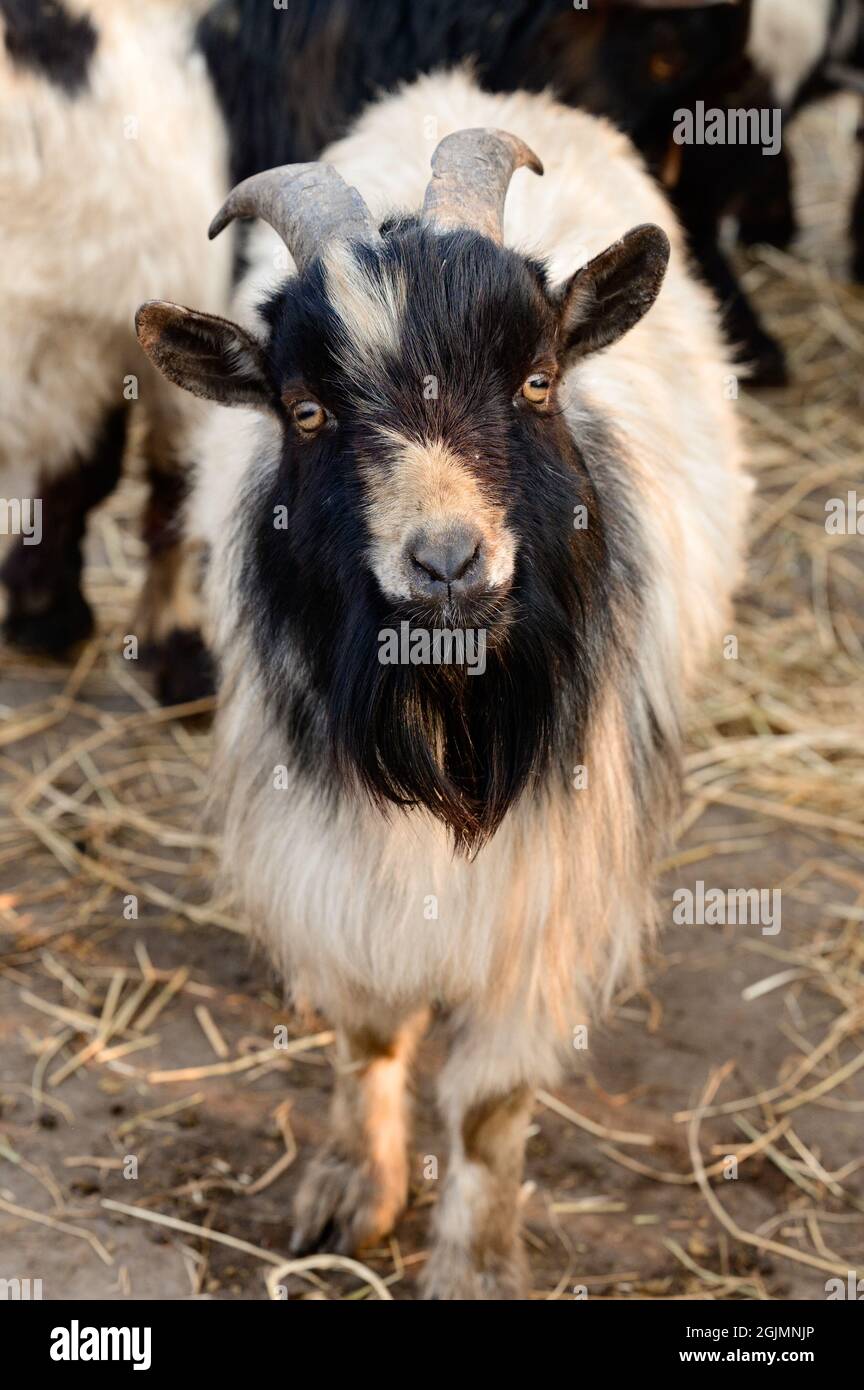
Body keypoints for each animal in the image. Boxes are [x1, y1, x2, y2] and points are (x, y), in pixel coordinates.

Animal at [137, 70, 751, 1298]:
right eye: (306, 410)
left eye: (537, 381)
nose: (448, 564)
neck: (447, 712)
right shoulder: (335, 852)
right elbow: (372, 1025)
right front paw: (348, 1190)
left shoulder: (549, 881)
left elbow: (488, 1101)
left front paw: (477, 1263)